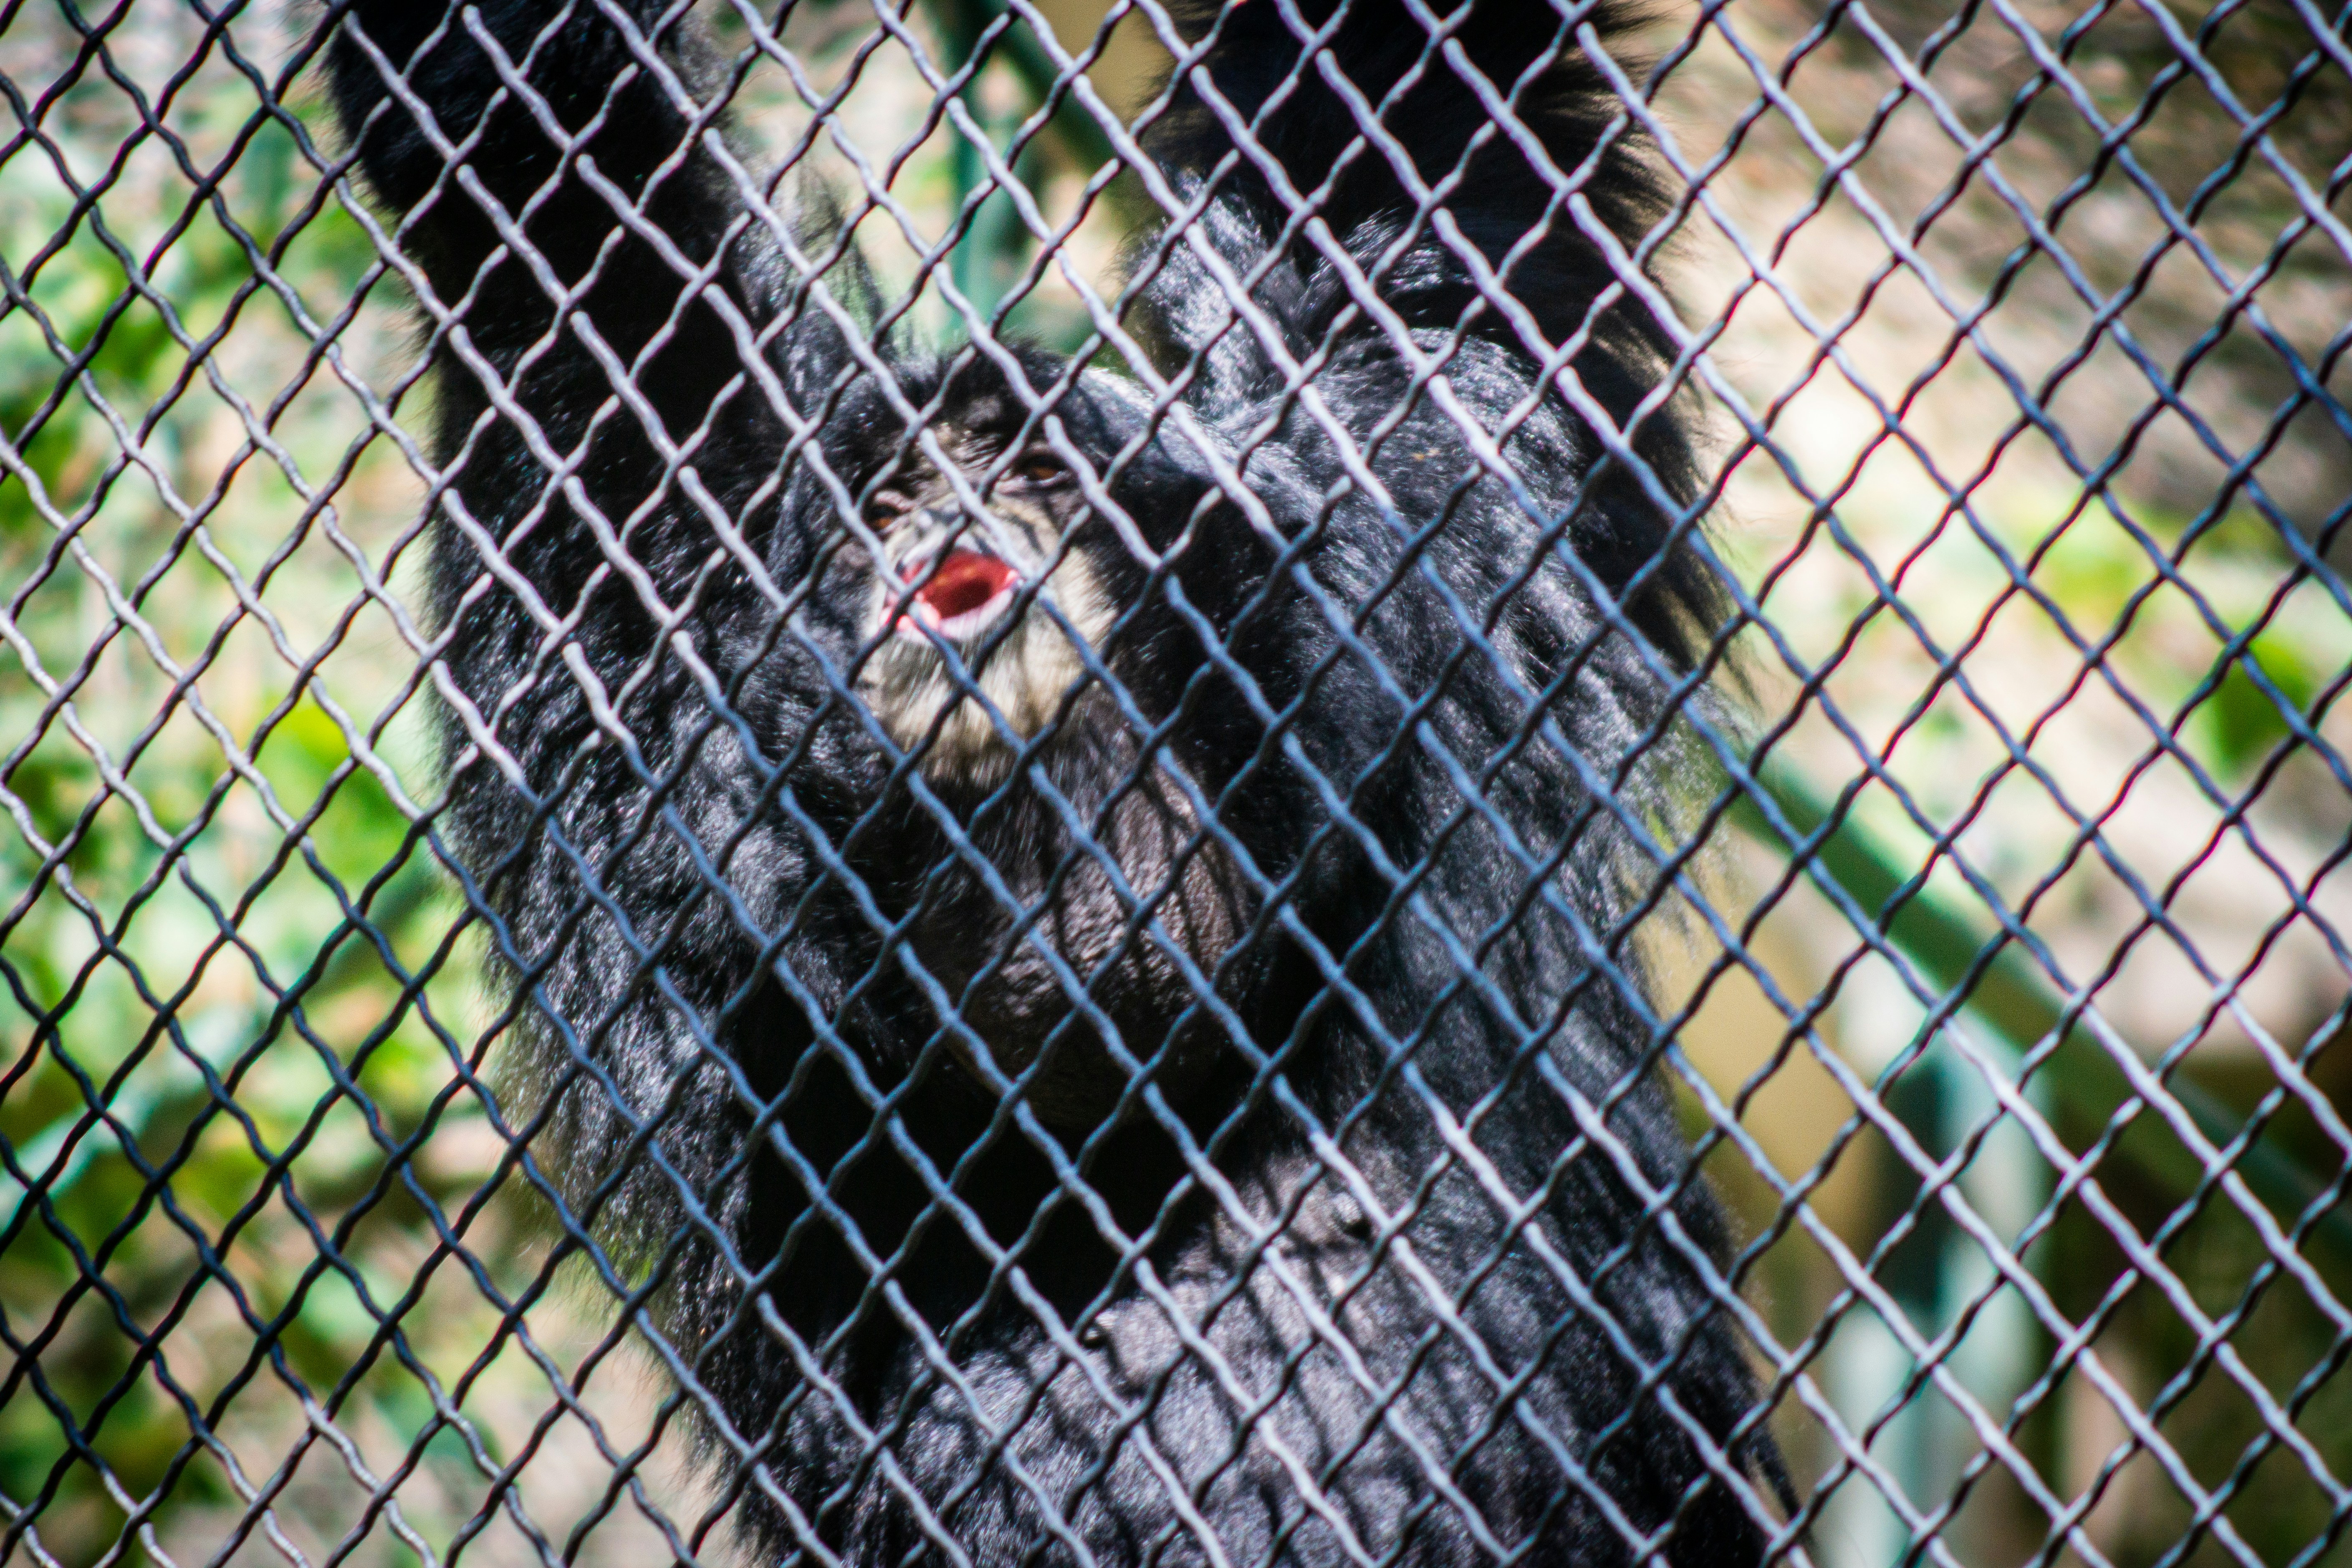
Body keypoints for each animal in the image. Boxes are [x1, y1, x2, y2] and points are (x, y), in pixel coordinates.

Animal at [322, 0, 1789, 1561]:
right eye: (891, 498)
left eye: (1022, 463)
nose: (947, 520)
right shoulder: (677, 718)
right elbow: (566, 242)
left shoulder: (1426, 560)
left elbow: (1398, 152)